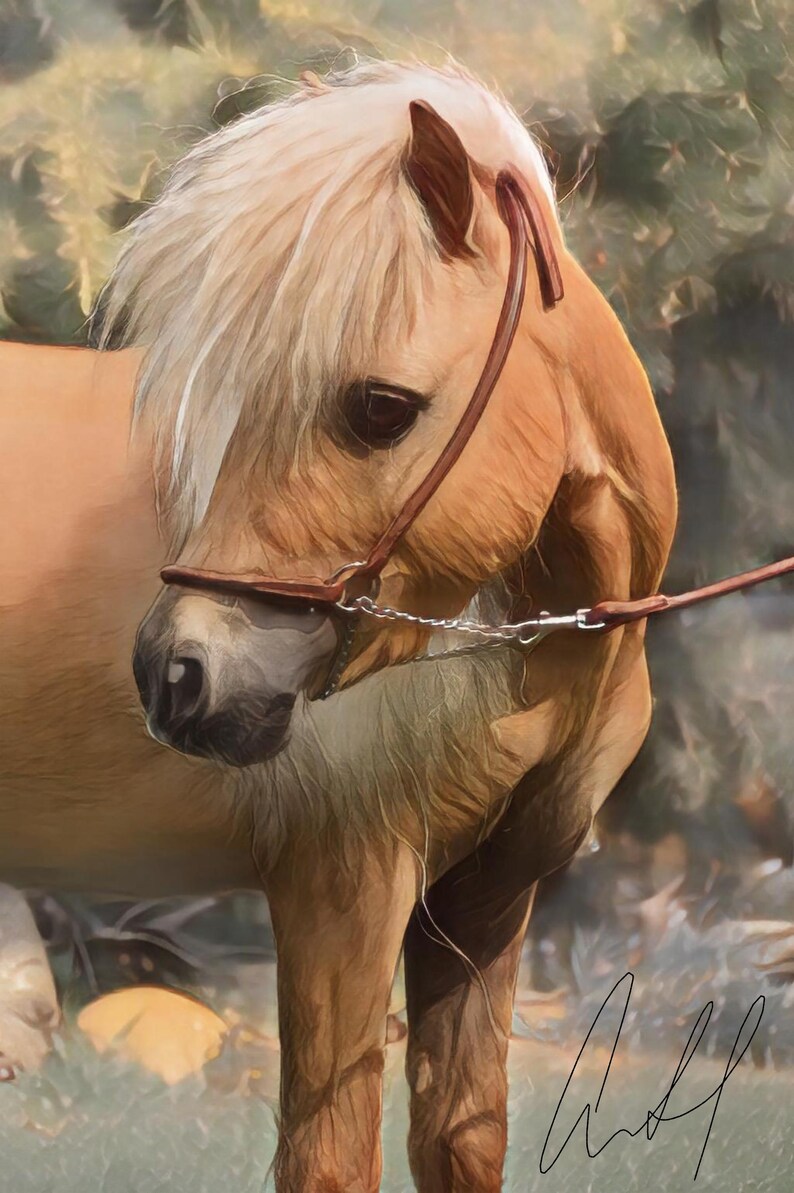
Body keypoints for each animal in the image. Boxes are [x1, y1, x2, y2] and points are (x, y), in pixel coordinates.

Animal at [0, 60, 676, 1191]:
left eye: (379, 407)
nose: (178, 674)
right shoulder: (341, 891)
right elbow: (329, 1156)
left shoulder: (485, 901)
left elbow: (461, 1134)